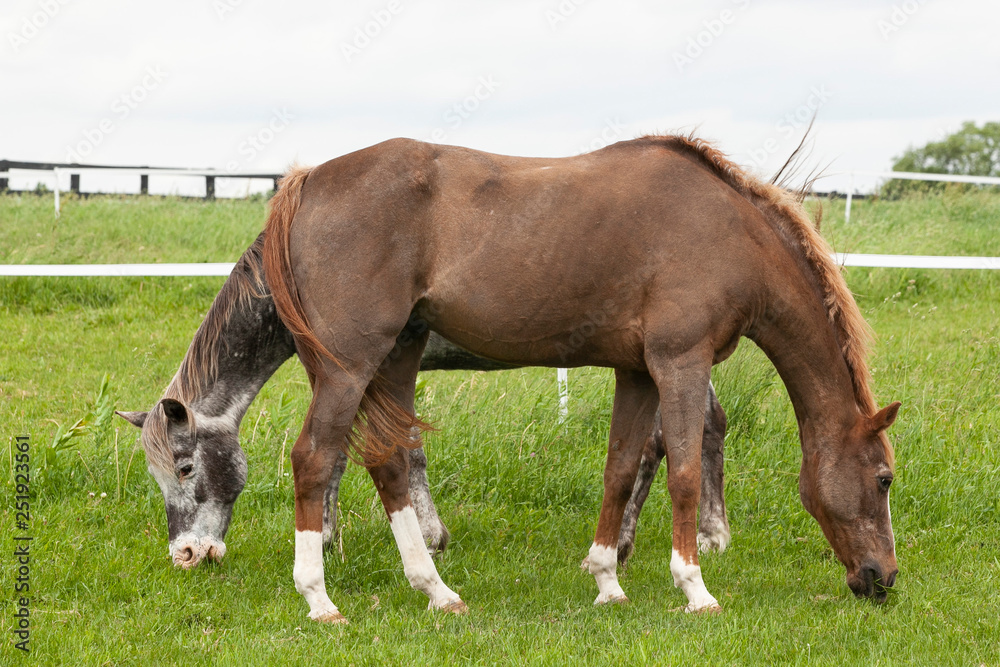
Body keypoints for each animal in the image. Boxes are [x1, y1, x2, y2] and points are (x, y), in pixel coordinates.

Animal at [117, 235, 730, 574]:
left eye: (185, 467)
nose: (185, 555)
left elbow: (361, 455)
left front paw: (412, 539)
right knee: (703, 429)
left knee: (673, 440)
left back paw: (693, 537)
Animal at [253, 133, 899, 622]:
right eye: (885, 478)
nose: (884, 577)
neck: (731, 234)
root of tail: (307, 181)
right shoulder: (680, 363)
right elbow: (684, 474)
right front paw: (694, 588)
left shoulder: (638, 372)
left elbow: (620, 469)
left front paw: (608, 580)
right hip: (350, 366)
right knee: (314, 457)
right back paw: (319, 598)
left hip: (396, 358)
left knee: (386, 461)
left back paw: (436, 589)